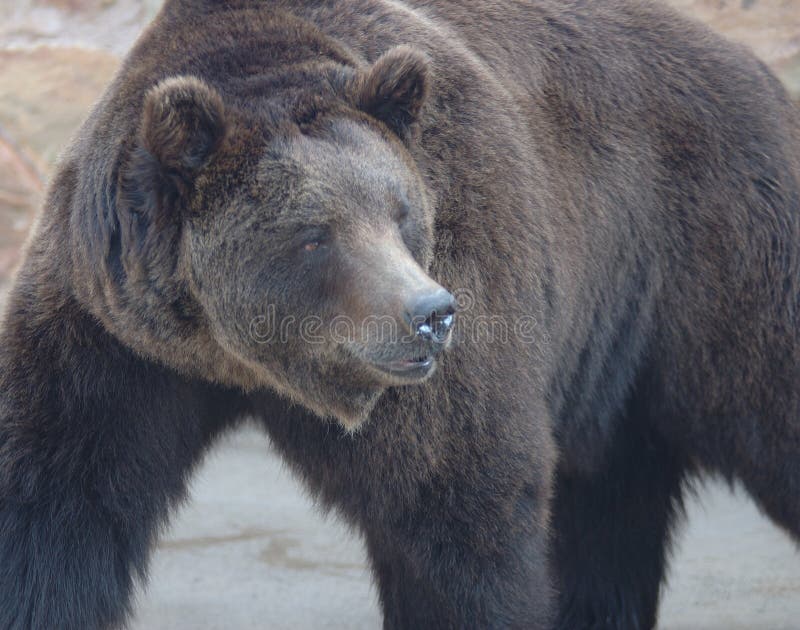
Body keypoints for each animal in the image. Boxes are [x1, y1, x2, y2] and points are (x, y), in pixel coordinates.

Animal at [0, 0, 798, 629]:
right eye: (314, 233)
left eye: (400, 211)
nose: (431, 314)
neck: (233, 358)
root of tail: (755, 68)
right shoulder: (109, 333)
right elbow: (54, 505)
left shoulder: (469, 286)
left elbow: (457, 509)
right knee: (610, 506)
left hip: (711, 252)